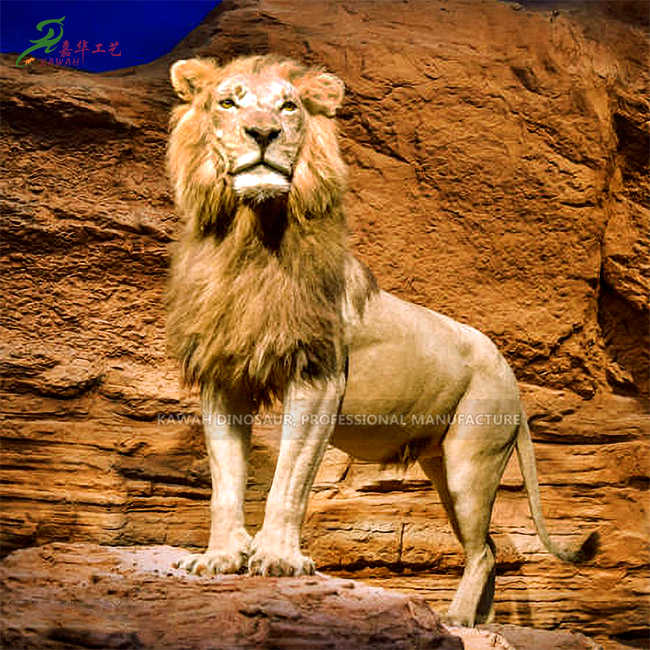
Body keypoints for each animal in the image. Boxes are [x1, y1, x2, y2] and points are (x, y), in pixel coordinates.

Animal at [165, 54, 597, 627]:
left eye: (289, 106)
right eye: (228, 102)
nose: (263, 133)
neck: (250, 243)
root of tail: (510, 373)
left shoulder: (319, 375)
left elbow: (290, 479)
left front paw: (278, 559)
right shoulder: (224, 376)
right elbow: (226, 483)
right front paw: (220, 558)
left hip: (472, 460)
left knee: (484, 551)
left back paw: (456, 621)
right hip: (442, 466)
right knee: (488, 549)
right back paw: (476, 623)